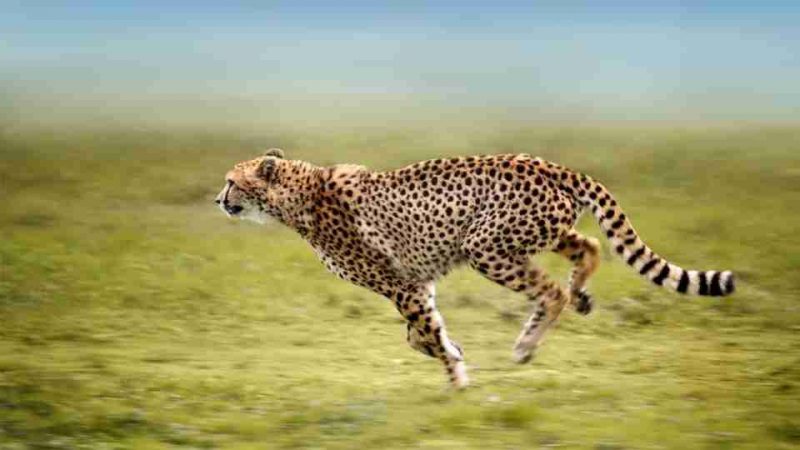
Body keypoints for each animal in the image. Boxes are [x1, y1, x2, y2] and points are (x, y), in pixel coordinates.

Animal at [214, 148, 735, 389]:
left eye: (231, 181)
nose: (219, 199)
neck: (298, 194)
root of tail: (545, 164)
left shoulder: (402, 286)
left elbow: (422, 331)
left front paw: (457, 381)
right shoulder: (415, 283)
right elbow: (419, 334)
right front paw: (453, 352)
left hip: (486, 246)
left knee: (551, 291)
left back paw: (527, 344)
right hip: (538, 232)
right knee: (588, 246)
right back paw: (582, 296)